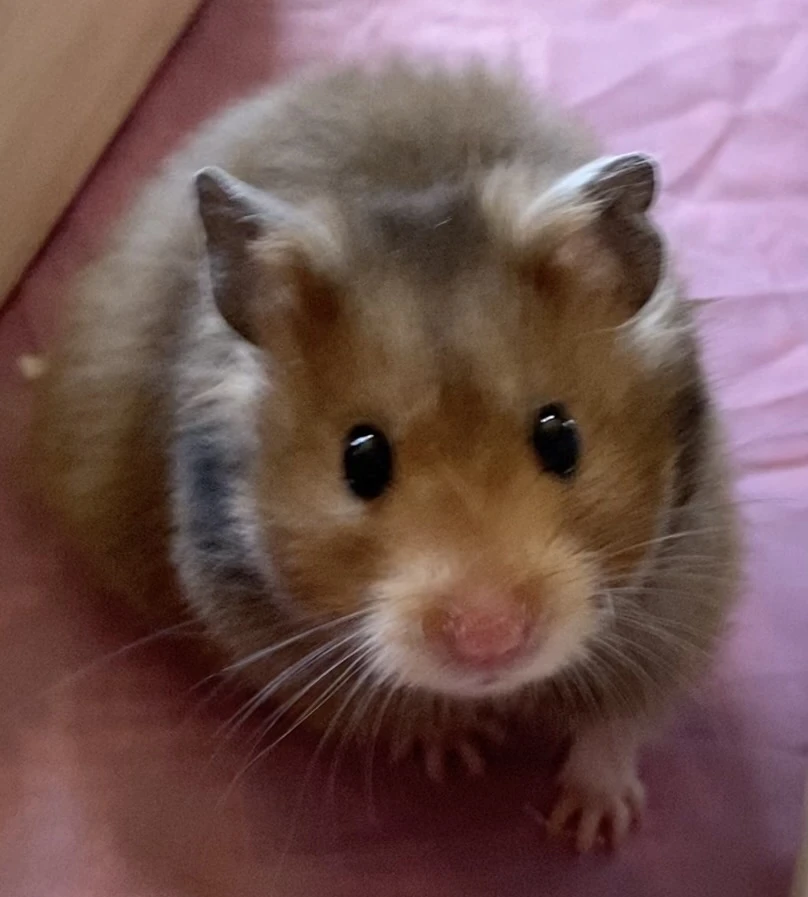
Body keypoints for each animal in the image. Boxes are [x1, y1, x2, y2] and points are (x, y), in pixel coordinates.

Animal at [32, 62, 739, 852]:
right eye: (361, 460)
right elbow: (400, 709)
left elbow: (617, 723)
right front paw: (458, 751)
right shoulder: (287, 658)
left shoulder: (686, 589)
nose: (490, 640)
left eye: (561, 437)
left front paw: (589, 829)